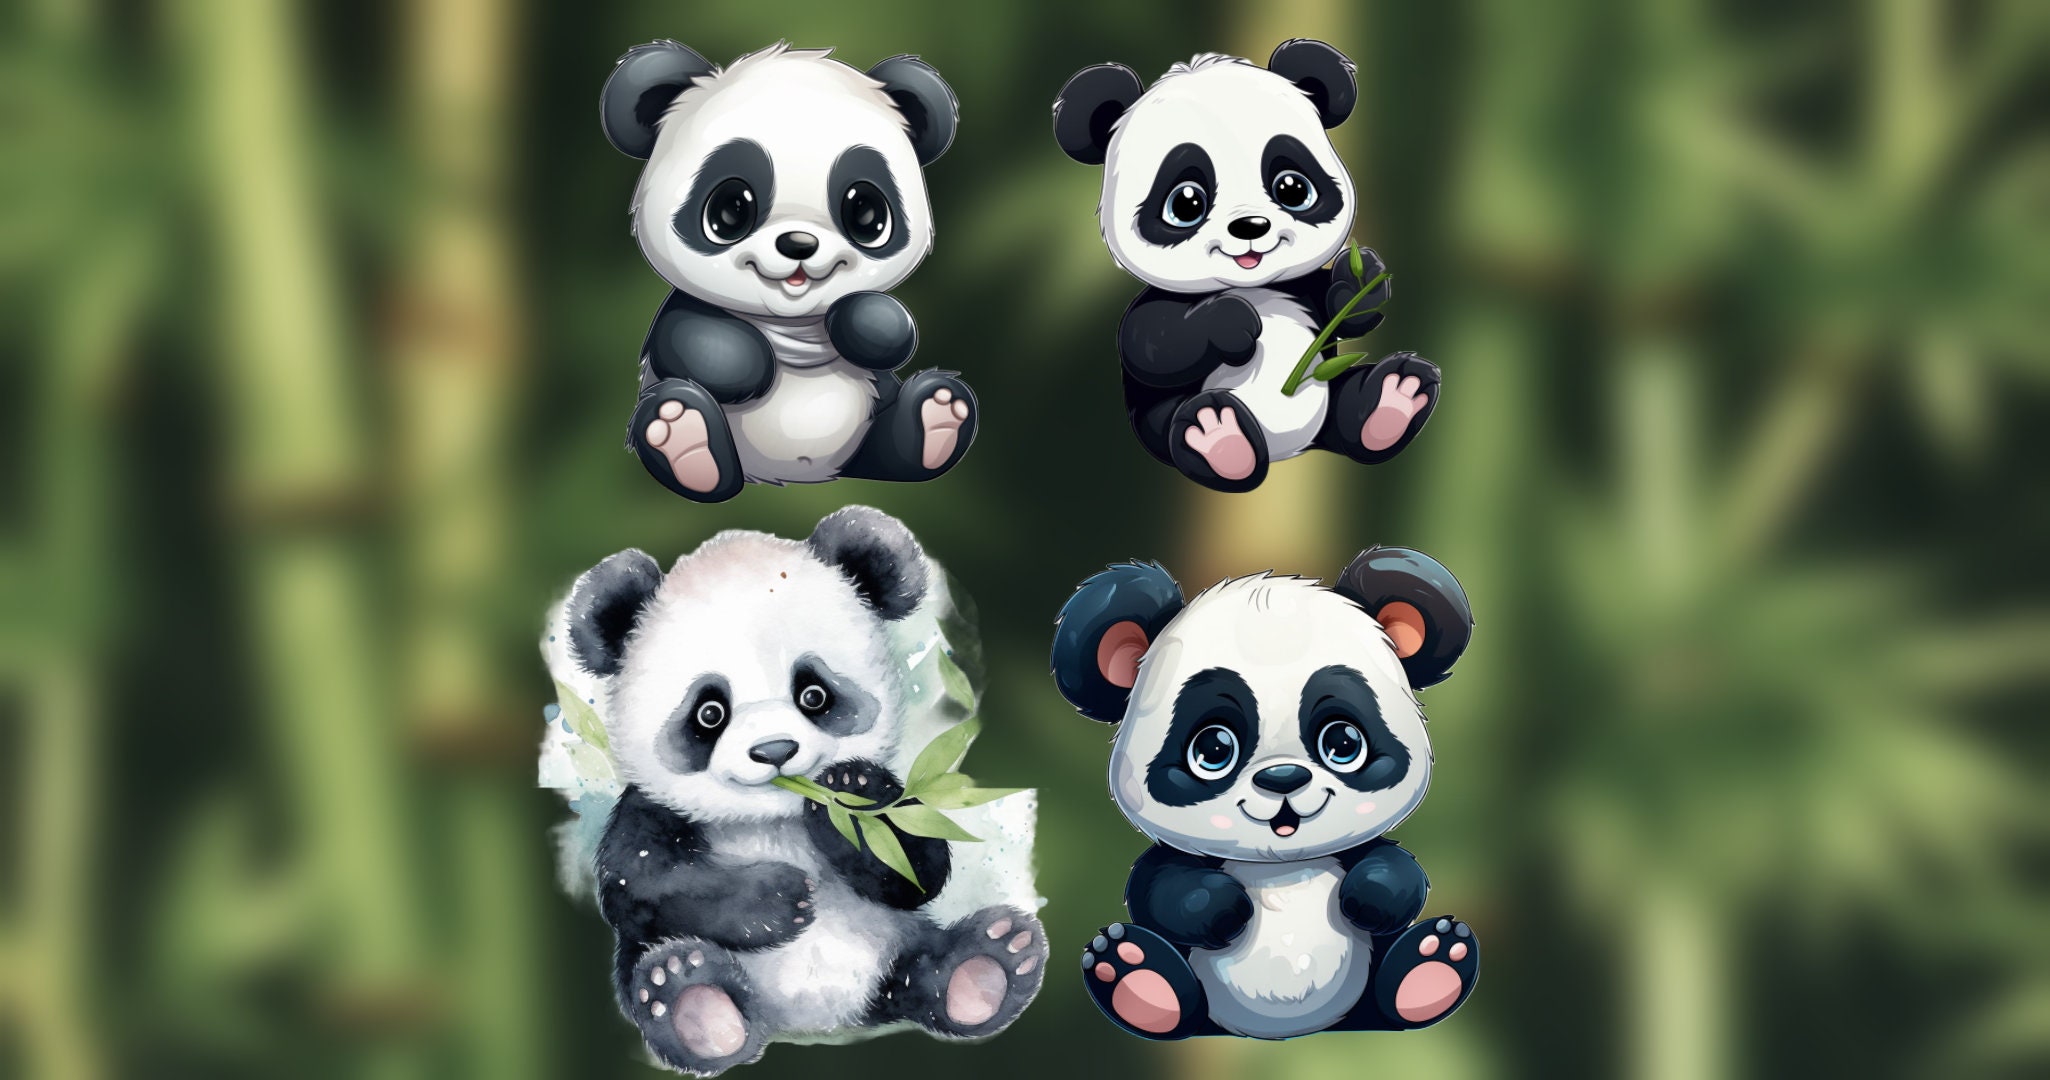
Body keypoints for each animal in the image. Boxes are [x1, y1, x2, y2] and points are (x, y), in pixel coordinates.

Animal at [563, 507, 1044, 1074]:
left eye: (814, 694)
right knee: (665, 969)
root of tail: (814, 1025)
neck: (772, 819)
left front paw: (850, 797)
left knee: (921, 969)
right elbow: (638, 883)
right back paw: (693, 1000)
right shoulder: (652, 810)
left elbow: (917, 868)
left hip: (895, 943)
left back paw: (987, 968)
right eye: (709, 712)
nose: (774, 750)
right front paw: (781, 898)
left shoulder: (905, 812)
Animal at [601, 42, 978, 503]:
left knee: (892, 447)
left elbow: (892, 330)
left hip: (869, 426)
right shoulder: (681, 311)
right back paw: (685, 441)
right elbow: (691, 335)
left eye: (865, 211)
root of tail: (796, 475)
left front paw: (862, 321)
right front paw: (750, 367)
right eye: (730, 209)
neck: (793, 327)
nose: (799, 244)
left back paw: (938, 417)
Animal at [1048, 546, 1477, 1040]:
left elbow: (1397, 868)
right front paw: (1224, 908)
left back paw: (1431, 966)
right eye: (1214, 749)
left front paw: (1370, 894)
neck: (1279, 868)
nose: (1283, 779)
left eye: (1343, 742)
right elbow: (1156, 886)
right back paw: (1135, 977)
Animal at [1052, 41, 1440, 493]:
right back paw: (1219, 437)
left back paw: (1394, 399)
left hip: (1329, 392)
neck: (1253, 286)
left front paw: (1362, 282)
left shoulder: (1302, 290)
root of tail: (1288, 450)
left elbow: (1344, 315)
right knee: (1180, 421)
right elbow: (1150, 343)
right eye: (1186, 203)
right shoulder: (1153, 307)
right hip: (1159, 419)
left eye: (1292, 188)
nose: (1250, 226)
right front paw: (1233, 322)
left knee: (1349, 405)